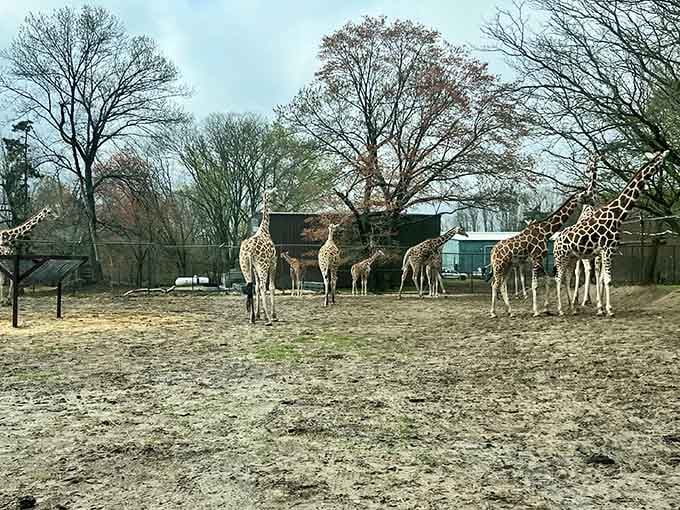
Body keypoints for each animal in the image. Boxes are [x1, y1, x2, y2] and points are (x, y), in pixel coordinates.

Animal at [239, 188, 277, 325]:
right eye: (274, 193)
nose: (278, 199)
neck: (265, 229)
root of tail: (249, 250)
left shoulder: (255, 268)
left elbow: (255, 289)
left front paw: (258, 314)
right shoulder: (273, 262)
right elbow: (271, 287)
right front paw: (273, 315)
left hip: (245, 265)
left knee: (249, 286)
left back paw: (252, 318)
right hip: (263, 265)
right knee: (262, 287)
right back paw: (269, 319)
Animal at [489, 159, 597, 318]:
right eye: (587, 195)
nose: (594, 202)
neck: (546, 231)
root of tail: (492, 251)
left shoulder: (540, 258)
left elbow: (546, 279)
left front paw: (546, 308)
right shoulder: (536, 258)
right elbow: (535, 284)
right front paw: (536, 311)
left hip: (507, 265)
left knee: (501, 285)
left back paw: (510, 311)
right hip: (499, 265)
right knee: (495, 284)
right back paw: (493, 312)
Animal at [554, 150, 669, 316]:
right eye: (660, 159)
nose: (667, 153)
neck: (618, 215)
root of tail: (557, 240)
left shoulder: (610, 251)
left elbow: (604, 278)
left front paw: (601, 307)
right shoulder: (606, 250)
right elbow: (607, 279)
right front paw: (608, 309)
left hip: (571, 257)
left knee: (567, 278)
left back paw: (573, 308)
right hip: (561, 257)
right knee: (559, 278)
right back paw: (562, 309)